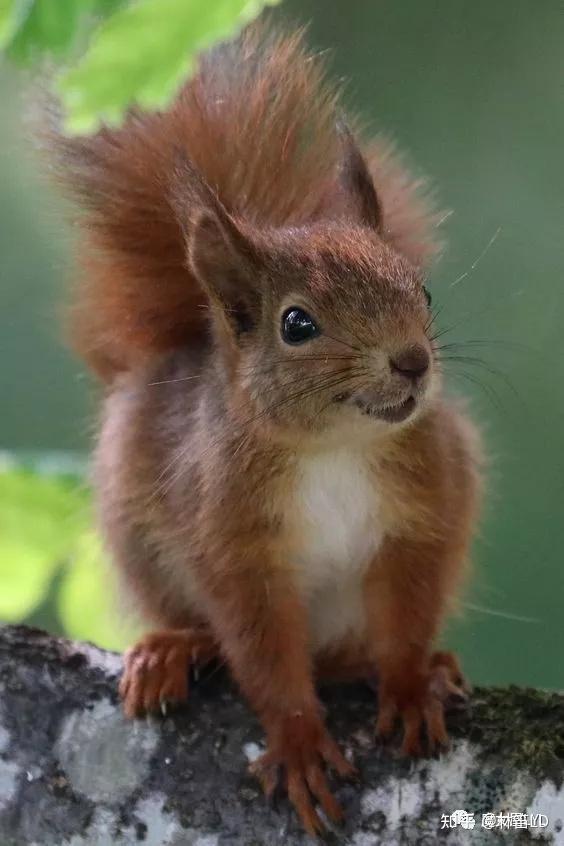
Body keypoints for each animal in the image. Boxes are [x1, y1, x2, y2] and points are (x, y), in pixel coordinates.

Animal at [47, 22, 482, 835]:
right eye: (297, 324)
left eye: (423, 290)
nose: (411, 361)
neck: (334, 449)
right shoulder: (233, 538)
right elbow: (262, 650)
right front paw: (300, 742)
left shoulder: (423, 508)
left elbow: (408, 610)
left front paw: (412, 683)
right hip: (138, 533)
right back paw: (172, 649)